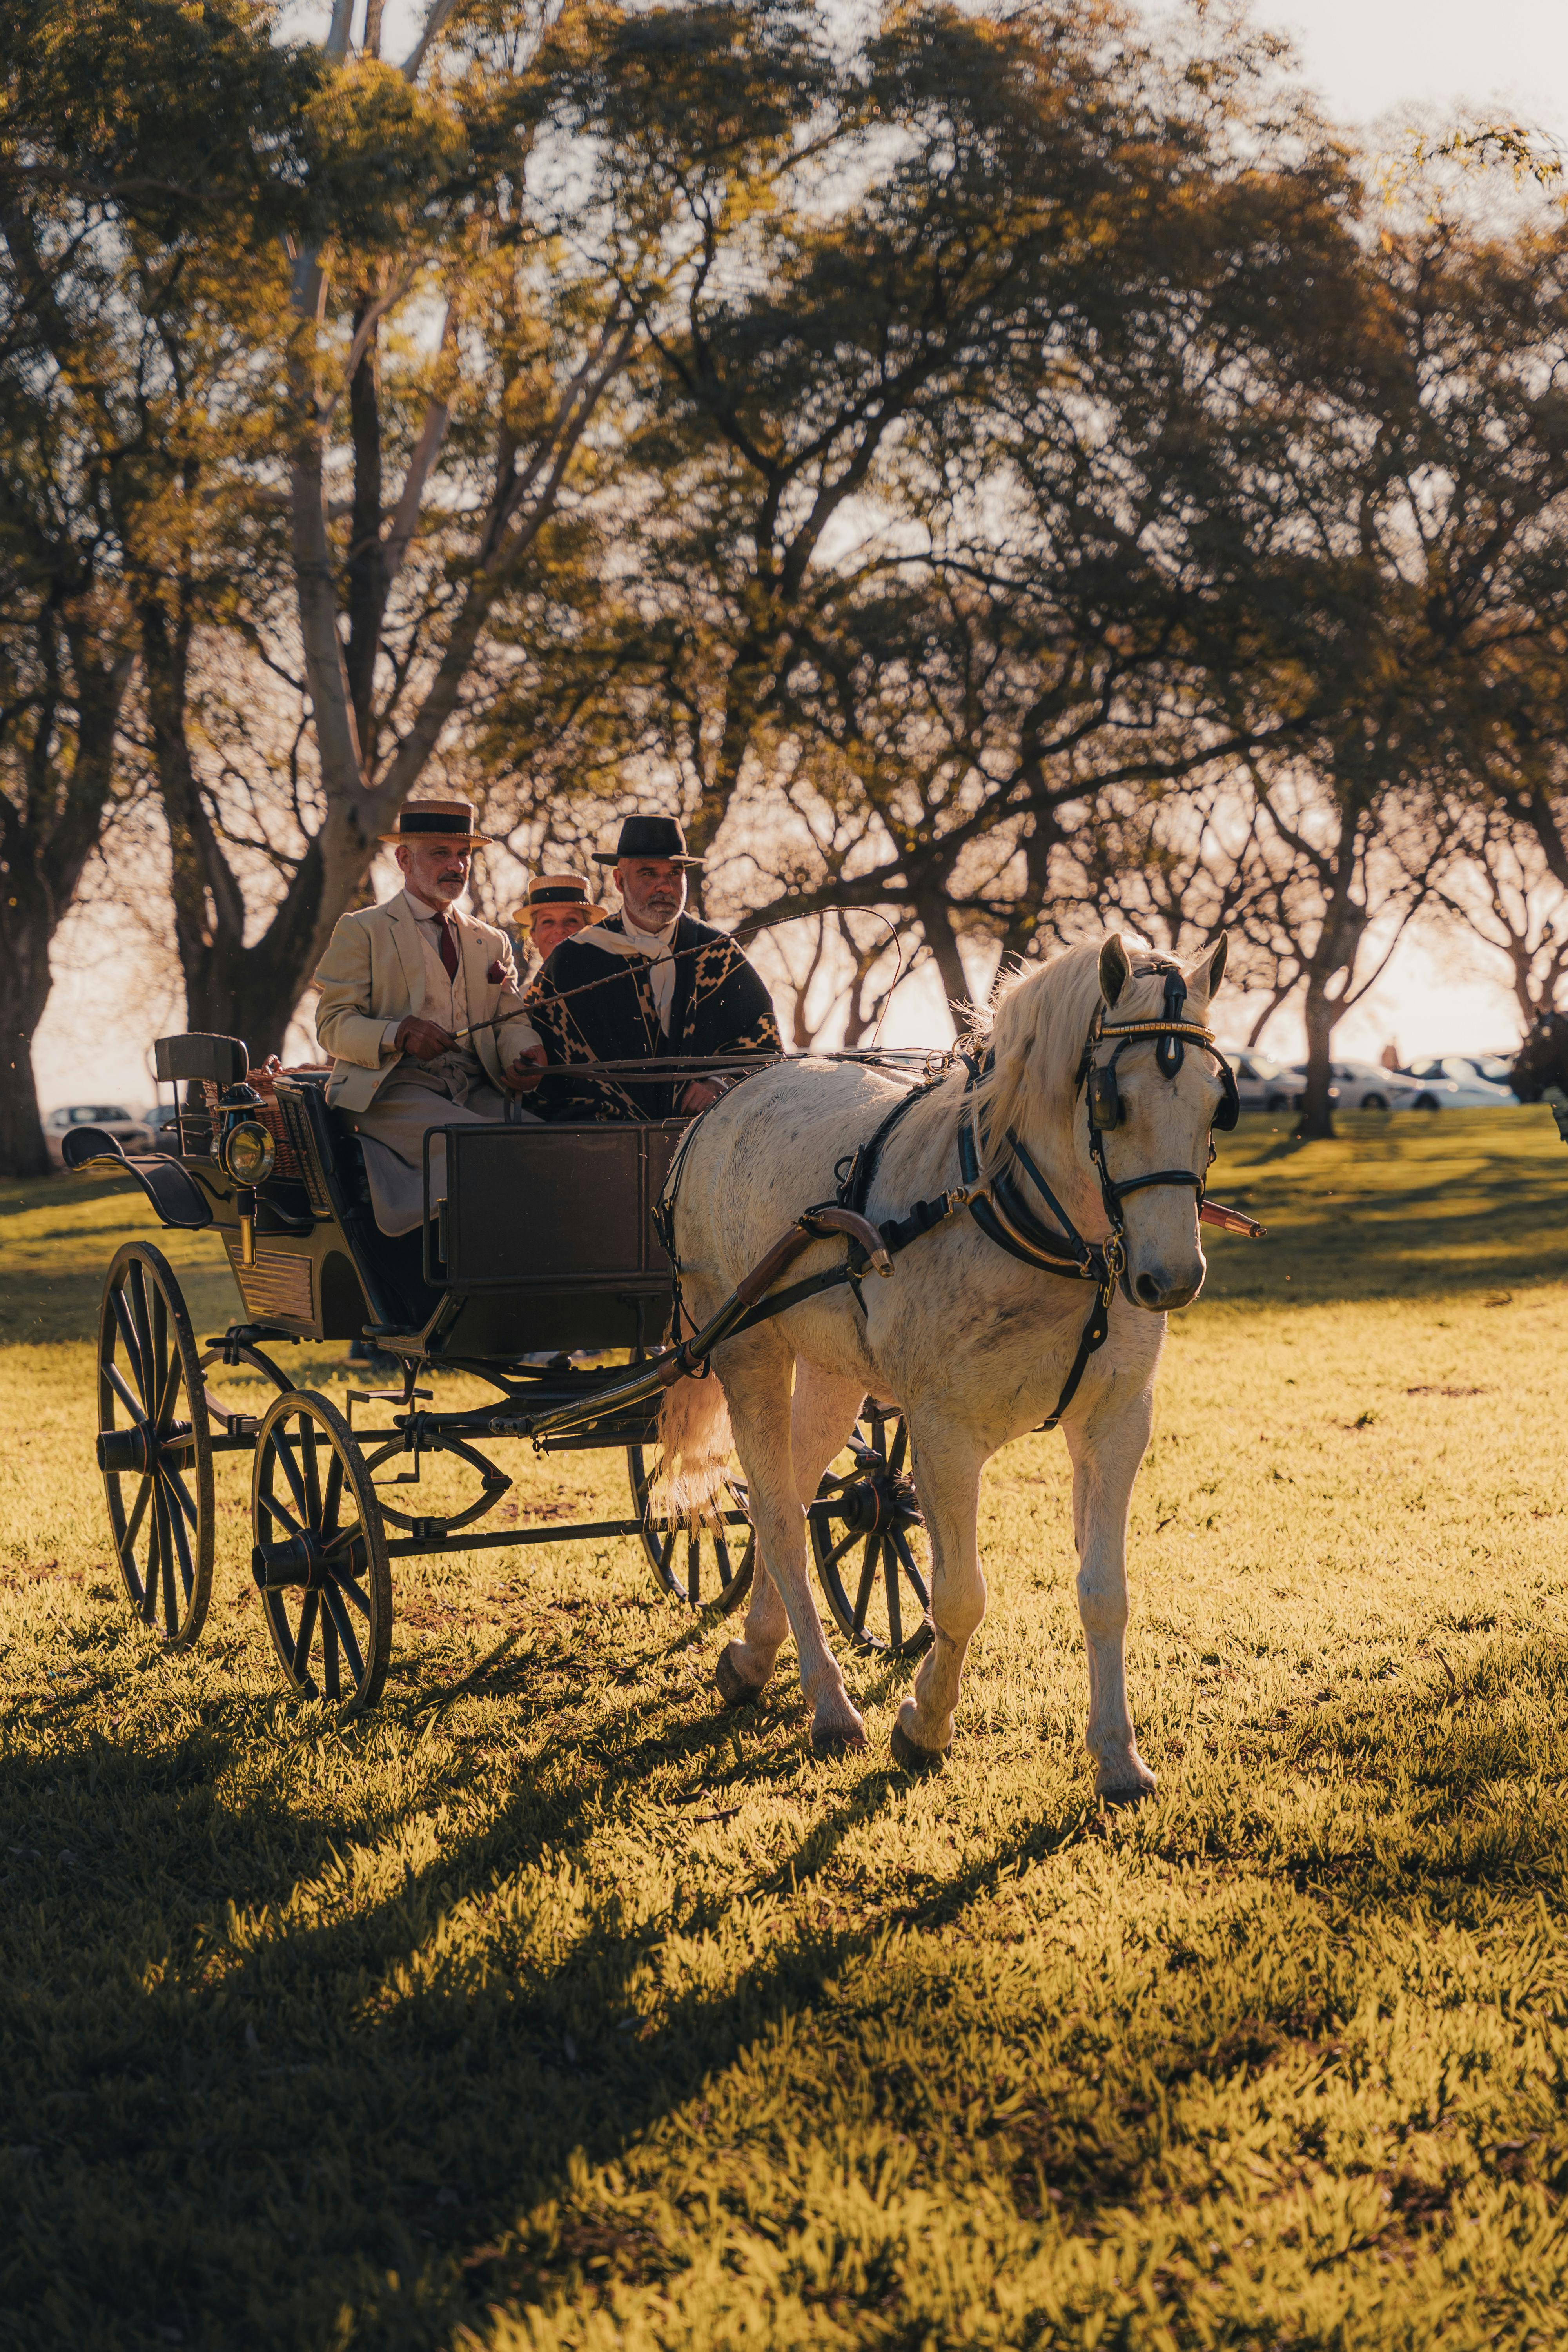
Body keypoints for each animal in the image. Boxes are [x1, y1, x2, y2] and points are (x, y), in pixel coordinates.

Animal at [655, 932, 1235, 1798]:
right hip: (746, 1350)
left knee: (787, 1490)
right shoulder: (943, 1435)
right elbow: (959, 1599)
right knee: (777, 1515)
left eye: (1213, 1102)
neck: (1030, 1223)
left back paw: (753, 1656)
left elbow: (1104, 1594)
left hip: (831, 1371)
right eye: (1113, 1104)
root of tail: (722, 1105)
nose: (1169, 1279)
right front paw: (924, 1725)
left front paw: (1116, 1754)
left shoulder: (1116, 1423)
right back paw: (829, 1705)